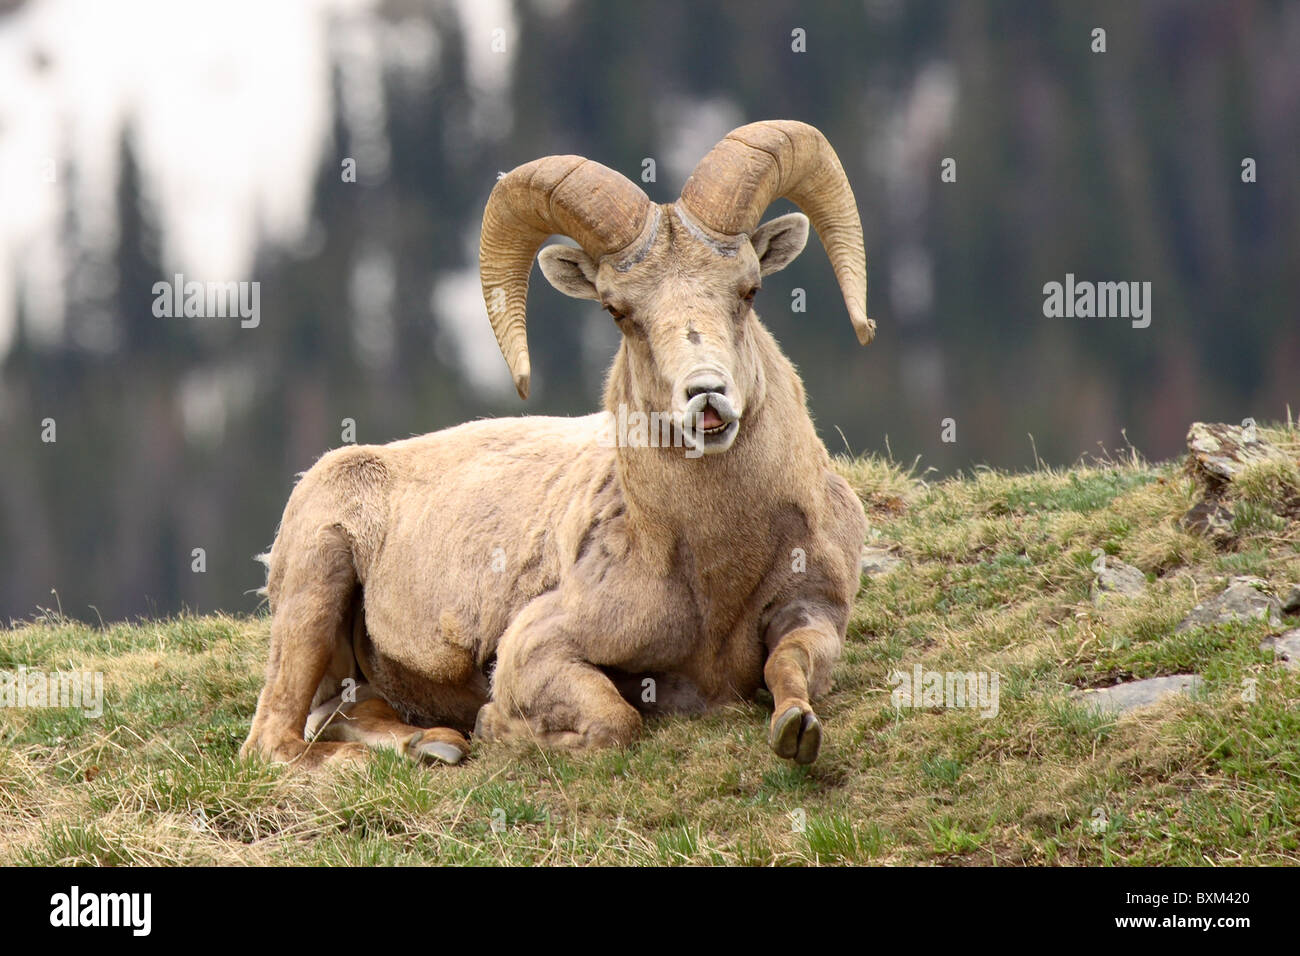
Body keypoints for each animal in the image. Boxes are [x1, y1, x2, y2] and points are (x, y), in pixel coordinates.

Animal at [241, 120, 874, 769]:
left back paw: (432, 743)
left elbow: (789, 666)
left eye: (748, 291)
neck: (719, 575)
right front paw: (495, 727)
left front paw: (797, 729)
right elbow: (617, 721)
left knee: (342, 713)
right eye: (618, 311)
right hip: (317, 582)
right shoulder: (538, 645)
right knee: (273, 741)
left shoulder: (814, 613)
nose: (707, 398)